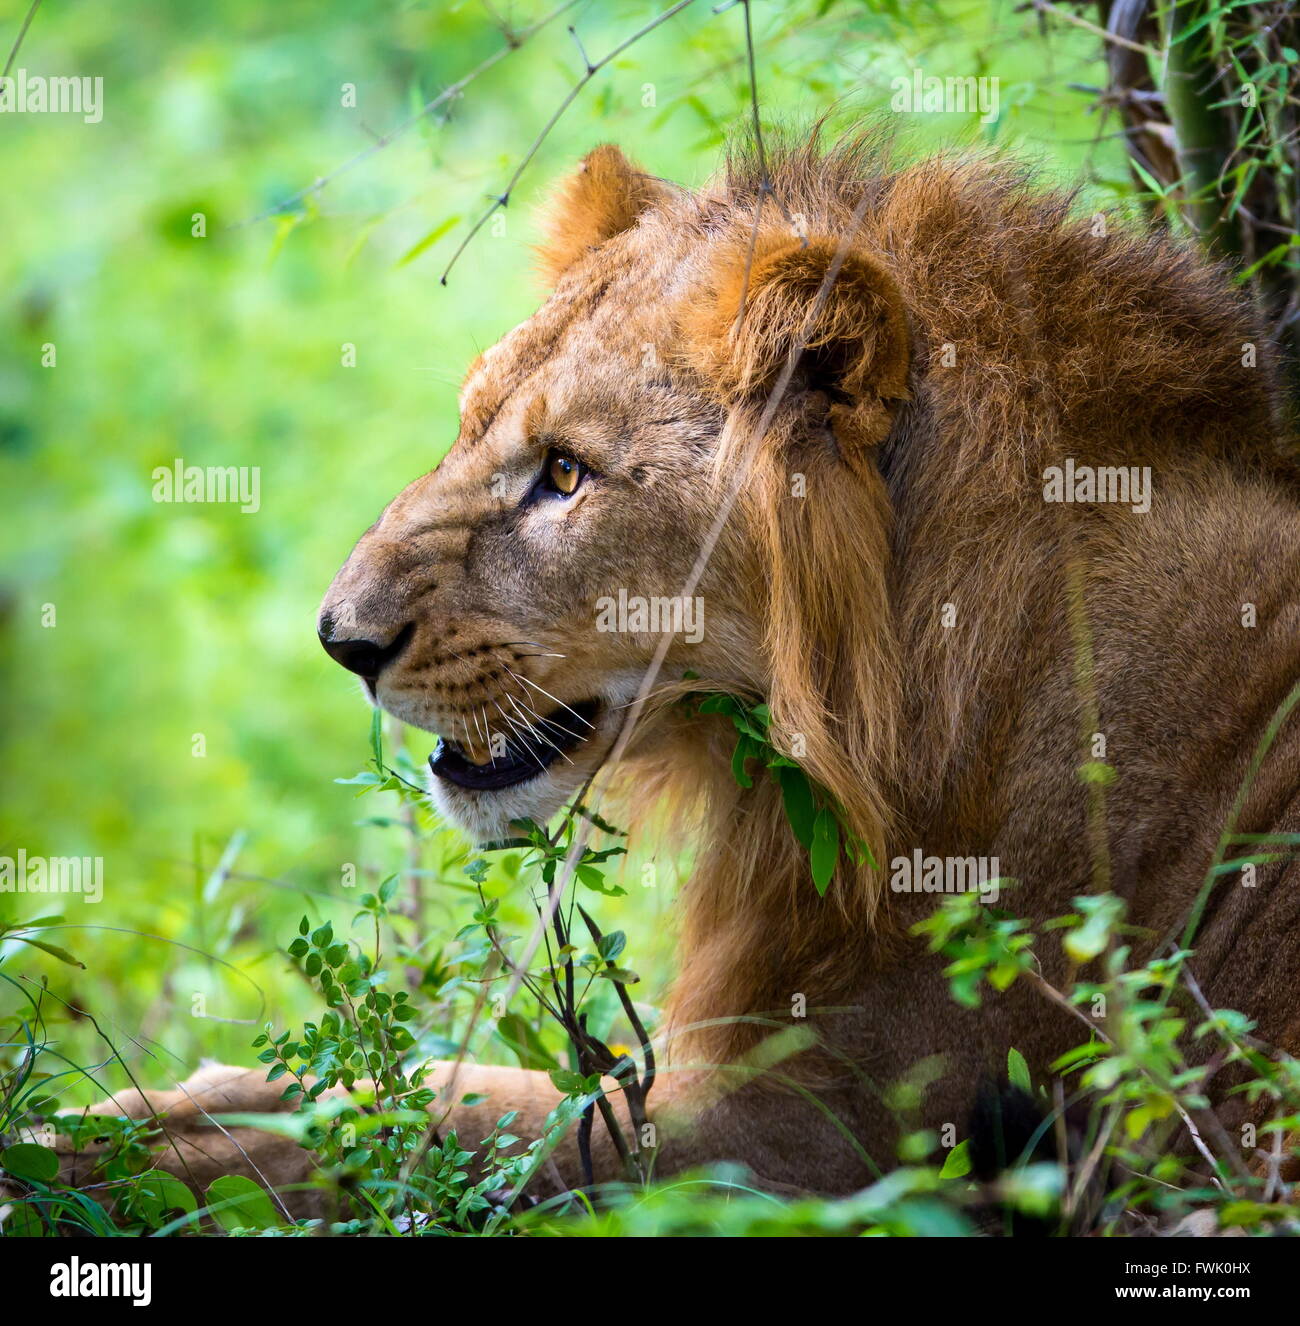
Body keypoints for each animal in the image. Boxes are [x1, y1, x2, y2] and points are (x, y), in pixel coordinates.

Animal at [67, 131, 1300, 1209]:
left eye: (566, 472)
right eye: (467, 427)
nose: (340, 640)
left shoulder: (820, 1141)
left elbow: (454, 1118)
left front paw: (106, 1146)